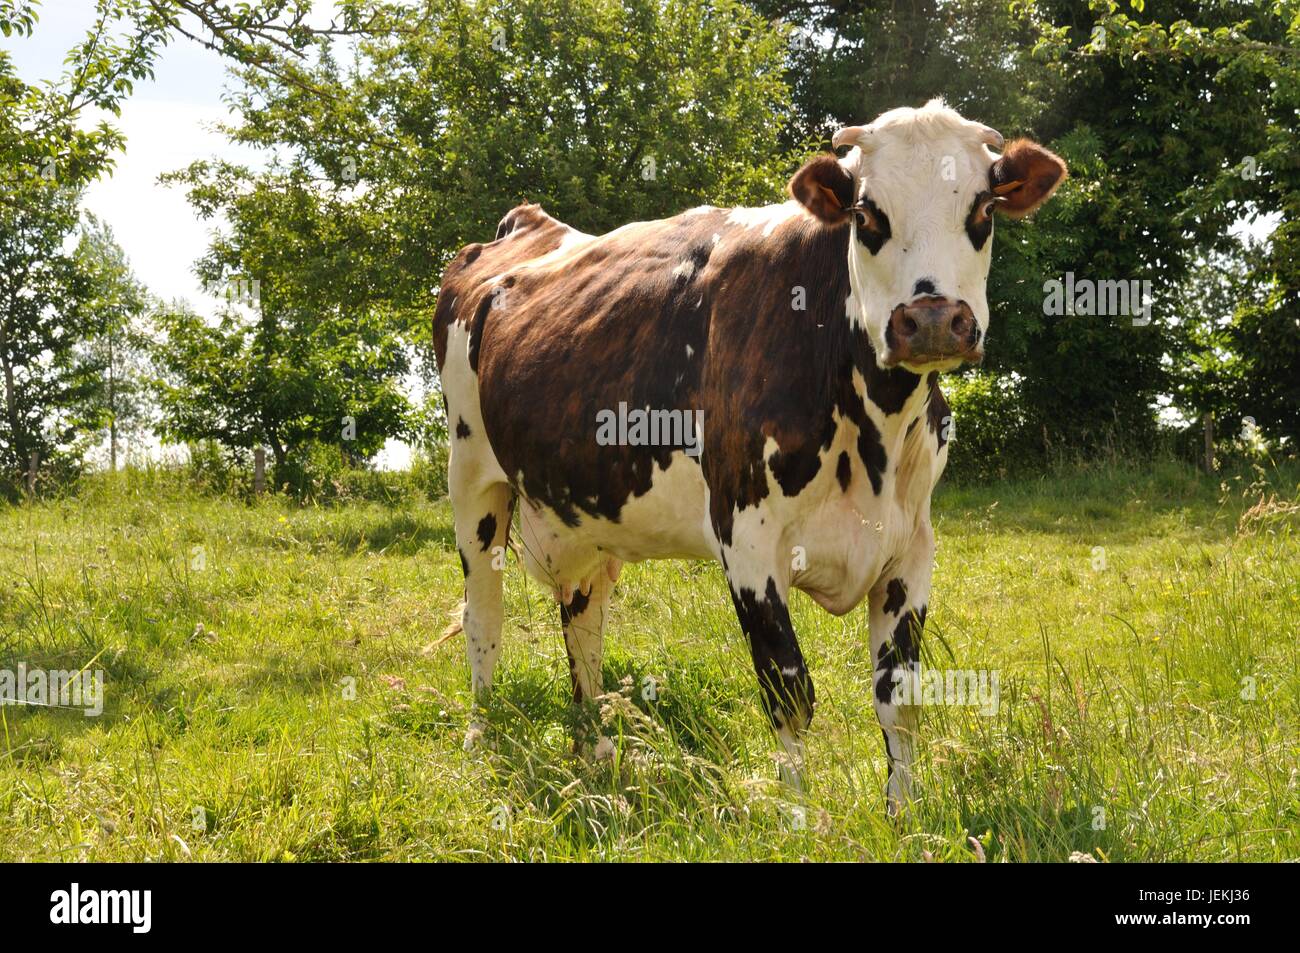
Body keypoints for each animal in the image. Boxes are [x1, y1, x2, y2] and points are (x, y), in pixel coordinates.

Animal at [432, 99, 1066, 812]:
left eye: (982, 210)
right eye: (867, 214)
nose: (931, 320)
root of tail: (526, 225)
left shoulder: (911, 546)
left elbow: (899, 700)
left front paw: (906, 816)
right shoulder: (747, 537)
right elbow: (789, 693)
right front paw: (798, 816)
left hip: (585, 514)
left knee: (584, 619)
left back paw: (593, 747)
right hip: (471, 478)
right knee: (483, 613)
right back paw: (481, 739)